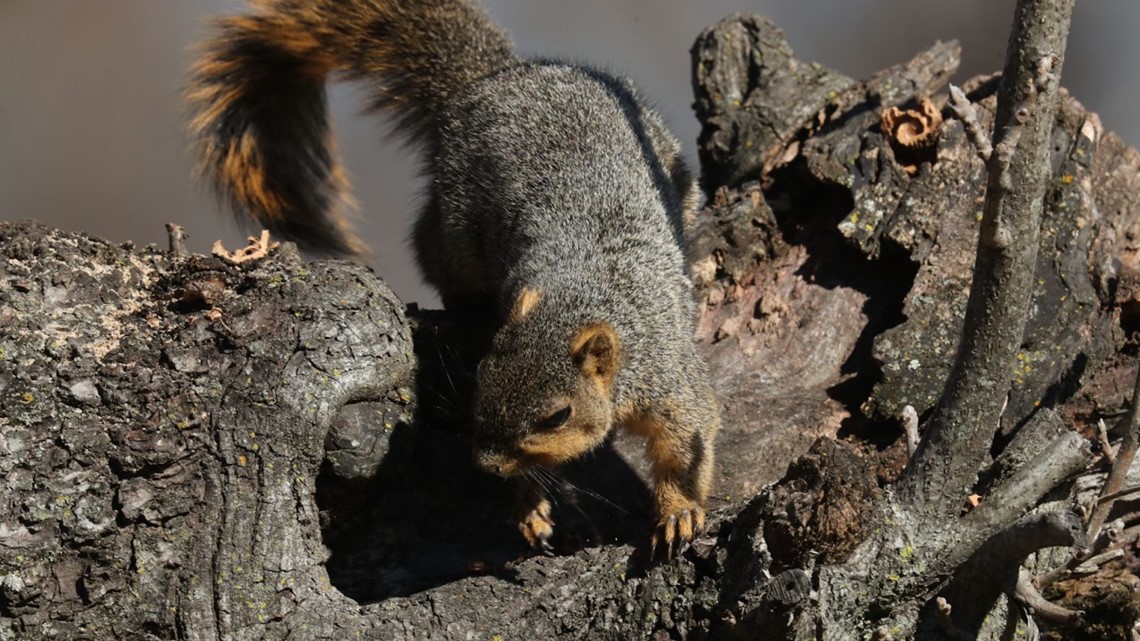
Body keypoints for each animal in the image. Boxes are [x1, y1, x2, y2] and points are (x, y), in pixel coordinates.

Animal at [187, 0, 720, 556]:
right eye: (482, 377)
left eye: (558, 415)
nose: (486, 465)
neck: (577, 303)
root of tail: (501, 76)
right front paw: (528, 505)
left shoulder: (666, 374)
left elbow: (688, 439)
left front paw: (679, 512)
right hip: (460, 229)